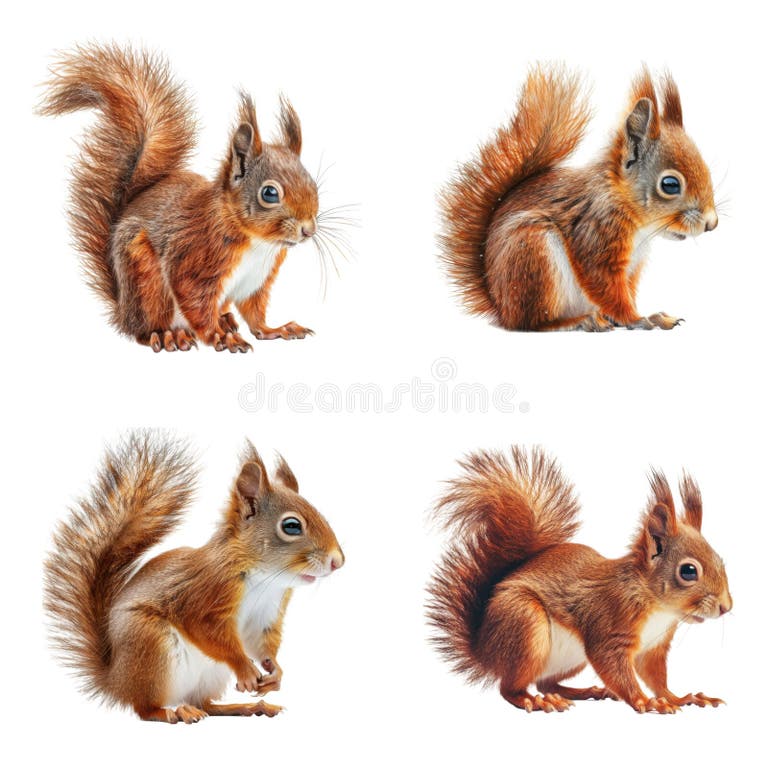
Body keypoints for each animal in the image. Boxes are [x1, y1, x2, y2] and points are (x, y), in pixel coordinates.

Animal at [40, 44, 325, 352]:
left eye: (312, 182)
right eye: (269, 193)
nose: (309, 230)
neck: (258, 243)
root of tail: (123, 310)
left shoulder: (257, 281)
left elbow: (255, 315)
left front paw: (276, 329)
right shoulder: (194, 258)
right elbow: (196, 303)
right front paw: (220, 338)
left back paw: (224, 320)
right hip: (145, 279)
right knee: (144, 330)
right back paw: (169, 335)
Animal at [44, 432, 344, 723]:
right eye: (291, 526)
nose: (338, 561)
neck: (264, 578)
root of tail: (116, 681)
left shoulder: (266, 614)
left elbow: (260, 643)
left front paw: (275, 672)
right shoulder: (204, 593)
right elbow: (205, 629)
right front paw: (246, 669)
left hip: (209, 675)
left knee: (205, 704)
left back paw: (245, 707)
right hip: (151, 647)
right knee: (145, 708)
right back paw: (173, 712)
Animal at [426, 446, 732, 714]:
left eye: (720, 560)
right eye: (688, 571)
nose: (726, 607)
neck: (655, 604)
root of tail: (483, 650)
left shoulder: (653, 647)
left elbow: (655, 677)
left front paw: (679, 698)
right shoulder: (608, 626)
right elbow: (617, 670)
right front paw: (646, 702)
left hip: (570, 659)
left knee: (546, 682)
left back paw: (584, 692)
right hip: (525, 624)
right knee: (510, 687)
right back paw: (535, 701)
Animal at [438, 66, 719, 331]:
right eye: (670, 185)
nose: (712, 223)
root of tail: (500, 305)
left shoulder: (632, 268)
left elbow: (625, 293)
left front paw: (652, 317)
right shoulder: (595, 232)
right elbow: (606, 286)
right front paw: (637, 319)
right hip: (533, 257)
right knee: (531, 323)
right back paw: (579, 321)